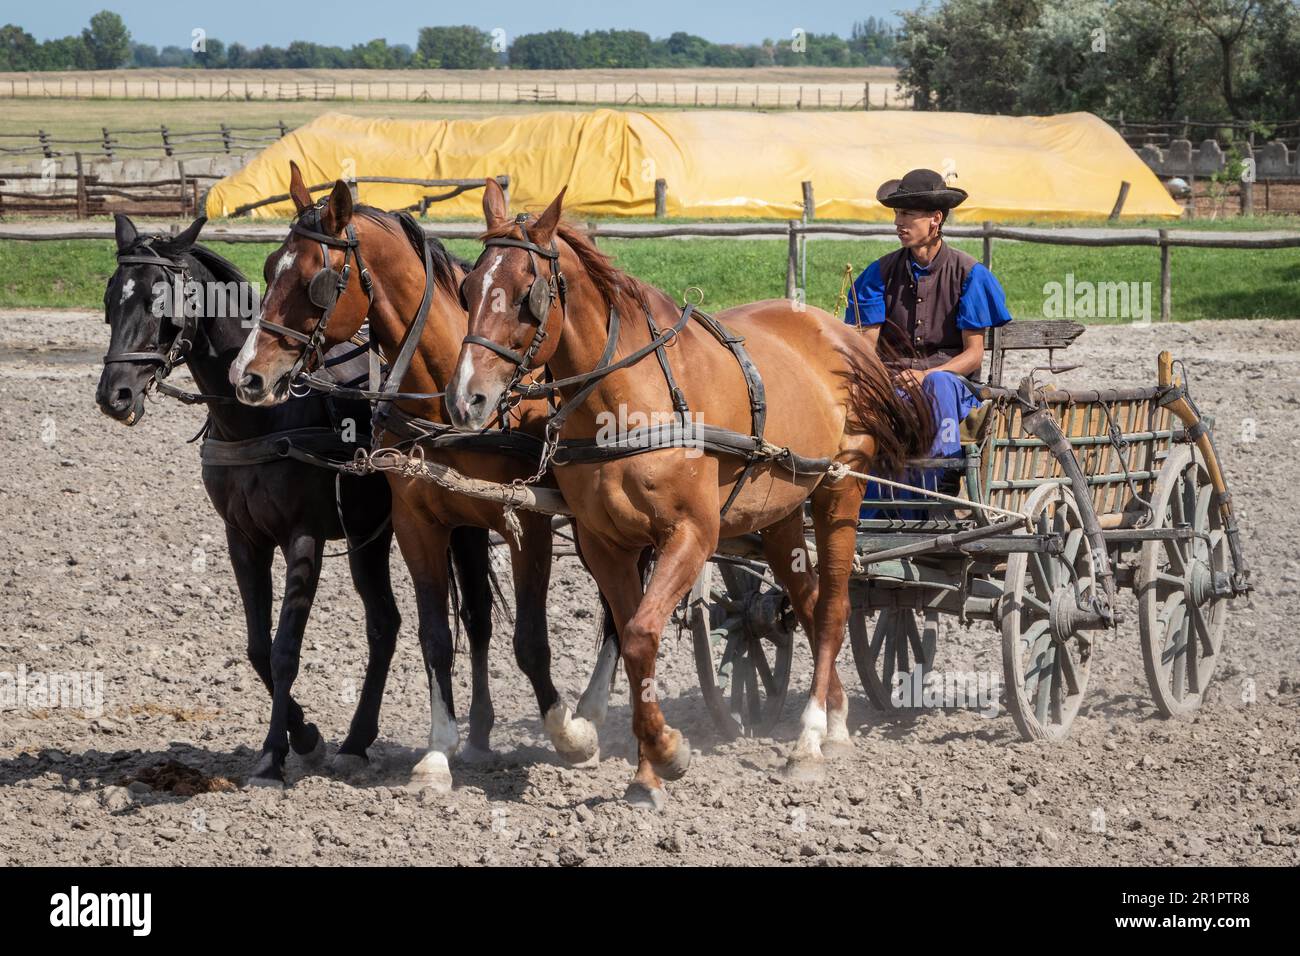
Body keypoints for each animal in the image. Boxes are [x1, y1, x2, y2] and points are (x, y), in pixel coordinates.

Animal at [94, 213, 489, 788]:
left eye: (159, 300)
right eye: (110, 298)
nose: (114, 394)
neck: (261, 419)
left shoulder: (302, 538)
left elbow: (285, 649)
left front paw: (273, 756)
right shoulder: (243, 538)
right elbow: (259, 647)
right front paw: (306, 736)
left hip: (457, 525)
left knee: (474, 615)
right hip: (369, 537)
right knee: (384, 625)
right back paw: (356, 740)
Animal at [228, 164, 620, 792]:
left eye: (317, 282)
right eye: (268, 268)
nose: (248, 377)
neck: (444, 397)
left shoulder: (527, 524)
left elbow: (531, 641)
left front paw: (570, 735)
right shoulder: (420, 524)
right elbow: (437, 636)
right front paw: (439, 753)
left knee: (617, 602)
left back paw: (594, 709)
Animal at [445, 180, 934, 808]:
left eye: (527, 294)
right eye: (468, 288)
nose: (466, 399)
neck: (628, 400)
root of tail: (842, 333)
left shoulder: (692, 535)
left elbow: (639, 635)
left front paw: (668, 753)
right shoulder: (606, 545)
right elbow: (634, 644)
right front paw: (646, 773)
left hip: (840, 486)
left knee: (833, 607)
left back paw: (810, 740)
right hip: (779, 510)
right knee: (804, 599)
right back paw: (838, 720)